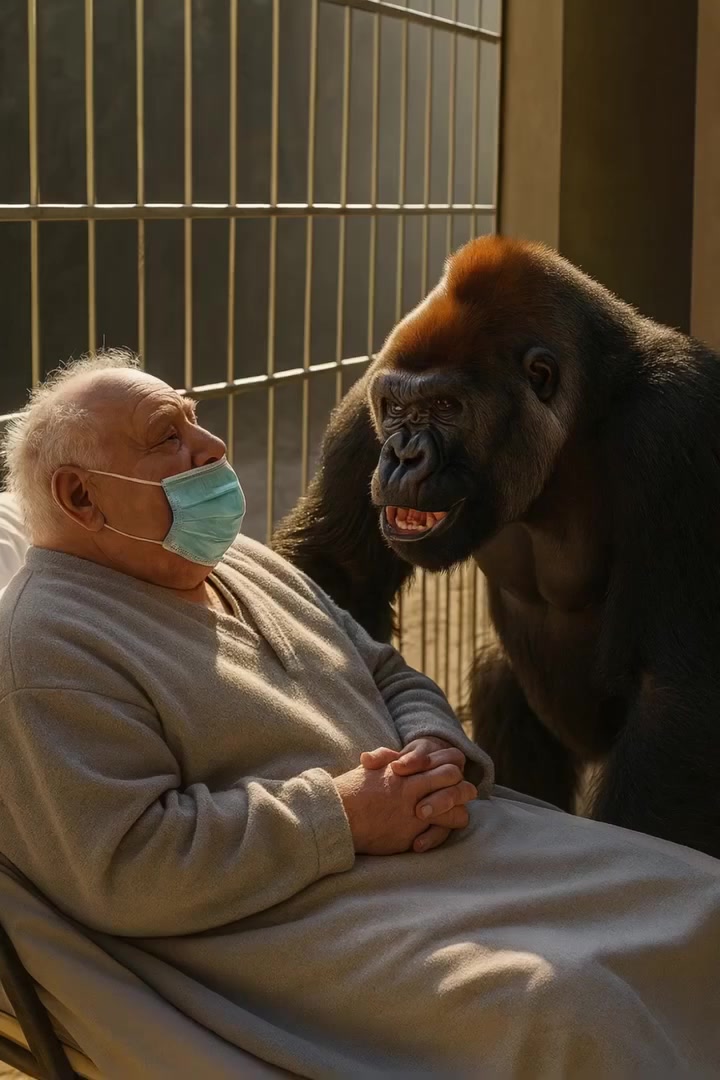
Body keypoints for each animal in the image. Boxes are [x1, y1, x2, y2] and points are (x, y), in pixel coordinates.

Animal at [273, 234, 720, 860]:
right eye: (397, 409)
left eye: (446, 408)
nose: (402, 457)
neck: (584, 412)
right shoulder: (365, 401)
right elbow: (336, 576)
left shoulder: (678, 430)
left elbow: (672, 691)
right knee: (499, 685)